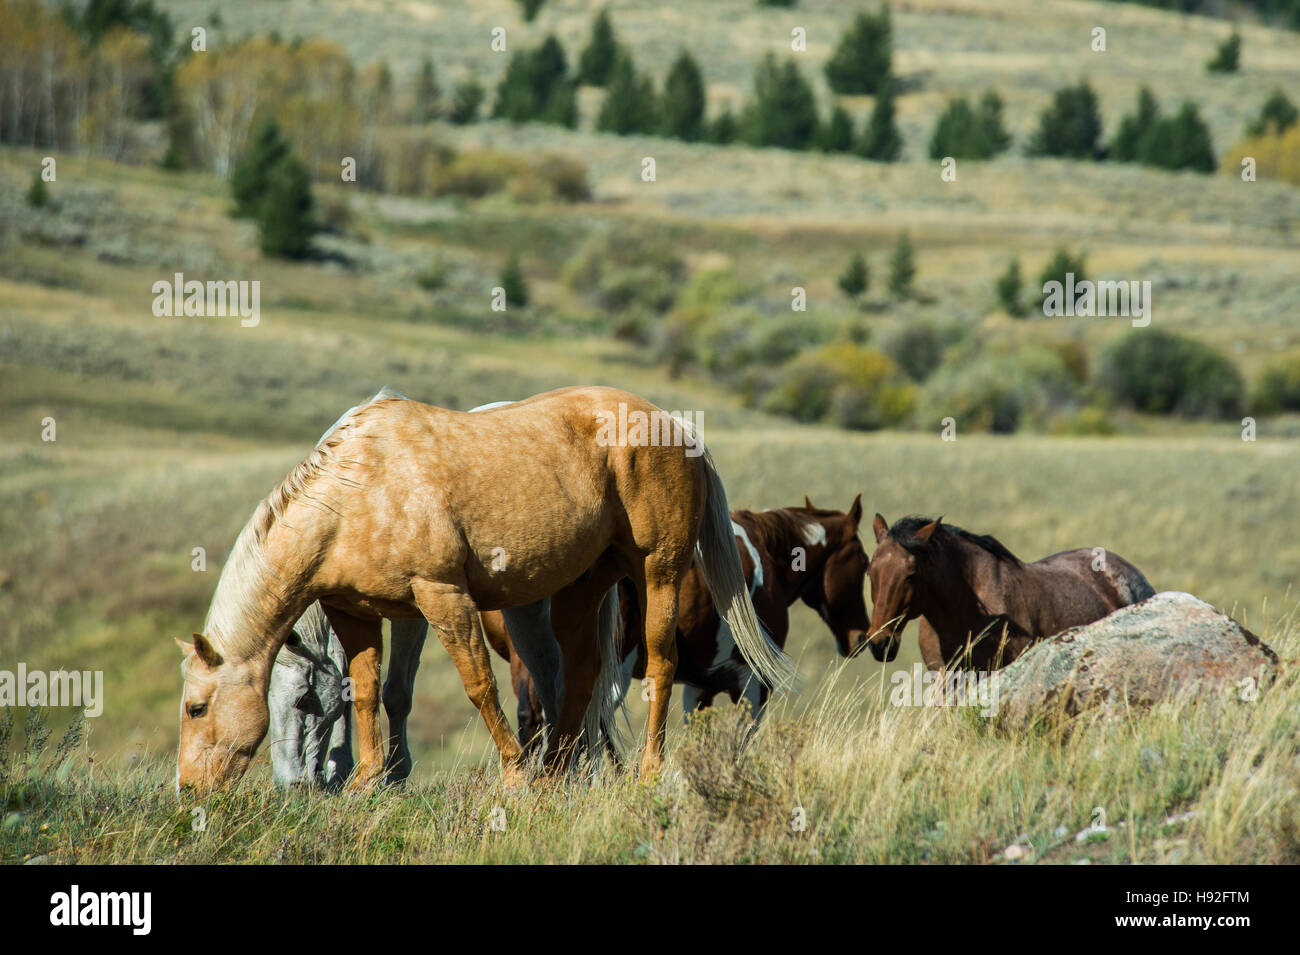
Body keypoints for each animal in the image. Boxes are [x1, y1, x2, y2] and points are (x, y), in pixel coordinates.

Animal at [178, 385, 792, 791]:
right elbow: (368, 690)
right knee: (576, 674)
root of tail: (677, 426)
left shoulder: (440, 598)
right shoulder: (356, 613)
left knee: (660, 666)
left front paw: (512, 776)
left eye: (196, 708)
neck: (356, 490)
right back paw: (557, 774)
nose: (189, 792)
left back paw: (644, 771)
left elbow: (478, 688)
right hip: (580, 589)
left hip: (658, 572)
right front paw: (368, 782)